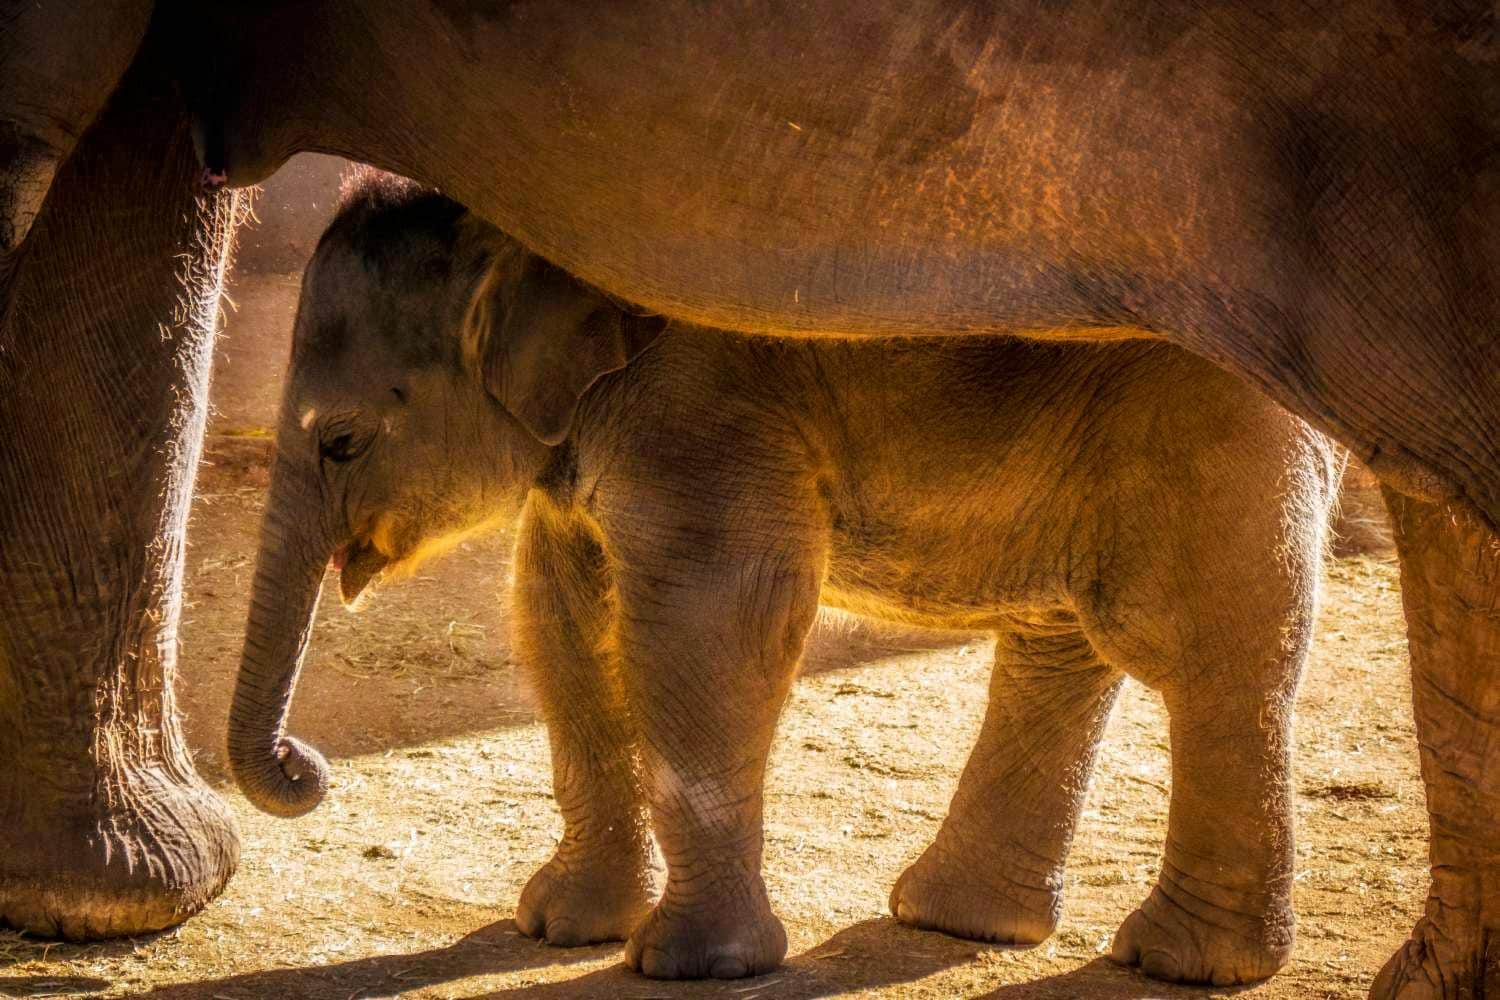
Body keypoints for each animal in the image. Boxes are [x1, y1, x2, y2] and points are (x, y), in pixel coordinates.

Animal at [230, 175, 1340, 984]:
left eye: (341, 440)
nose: (305, 763)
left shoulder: (704, 398)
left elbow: (713, 618)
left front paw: (689, 966)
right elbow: (559, 610)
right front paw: (558, 929)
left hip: (1212, 417)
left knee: (1201, 656)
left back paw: (1177, 963)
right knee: (1062, 643)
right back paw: (958, 921)